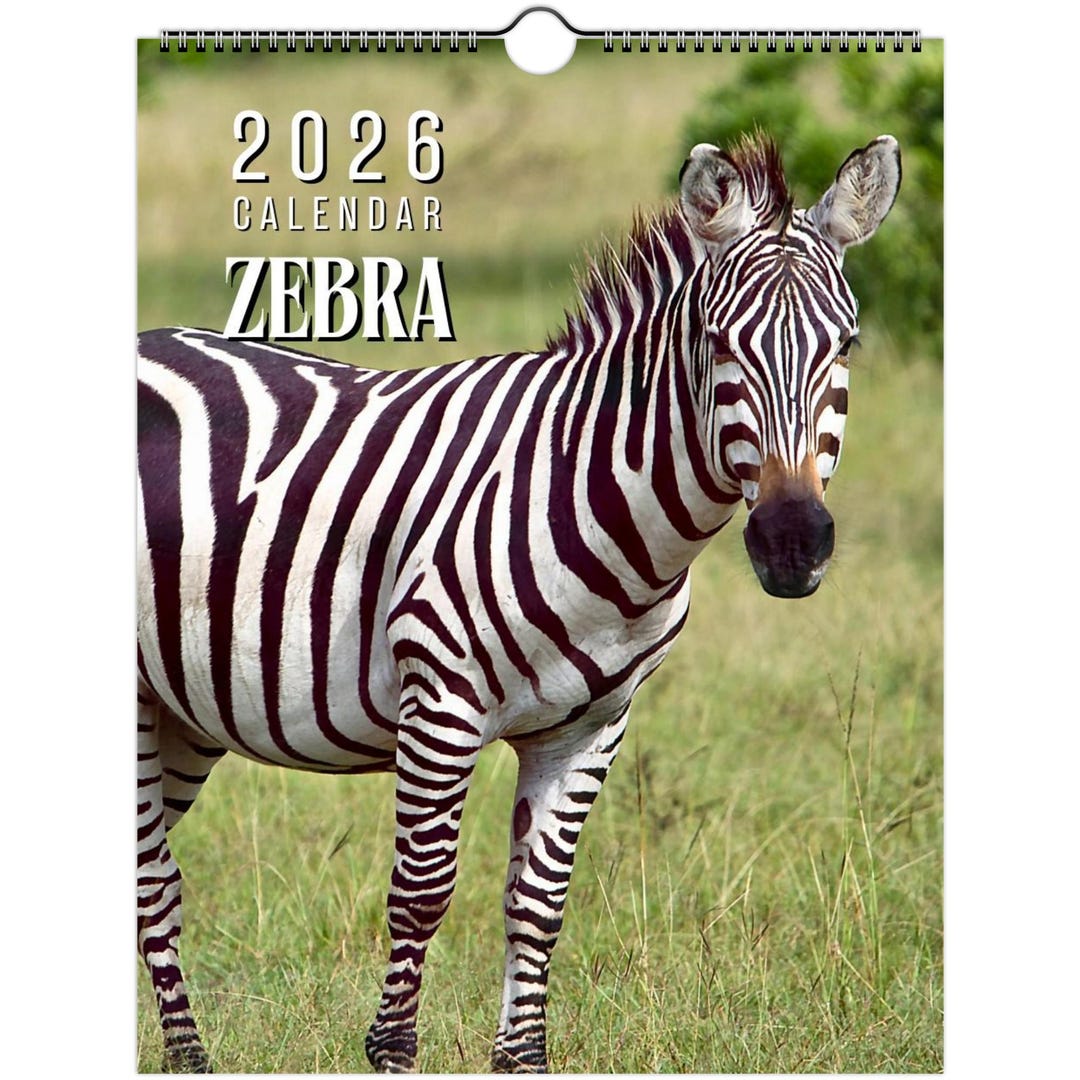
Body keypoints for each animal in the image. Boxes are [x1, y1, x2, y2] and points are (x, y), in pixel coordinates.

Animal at [137, 132, 900, 1073]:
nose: (793, 542)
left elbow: (538, 903)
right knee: (154, 881)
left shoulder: (591, 725)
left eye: (848, 345)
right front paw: (392, 1050)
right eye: (719, 343)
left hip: (182, 708)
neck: (590, 489)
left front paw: (522, 1055)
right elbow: (422, 891)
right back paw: (188, 1057)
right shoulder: (441, 698)